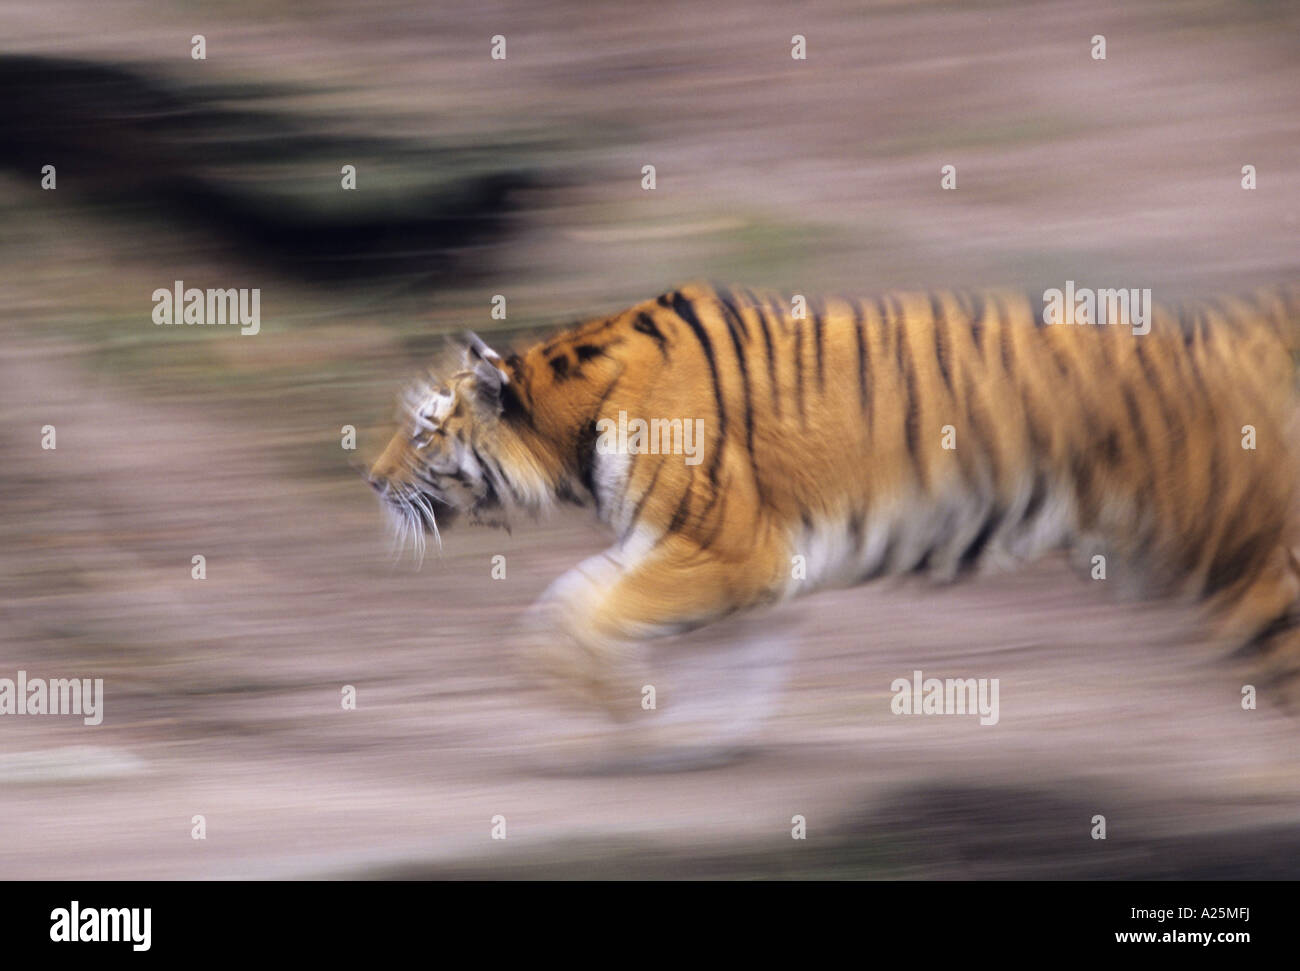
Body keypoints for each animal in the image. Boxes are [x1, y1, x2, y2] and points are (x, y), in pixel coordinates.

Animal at [368, 282, 1300, 752]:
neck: (577, 420)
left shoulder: (727, 550)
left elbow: (600, 611)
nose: (370, 480)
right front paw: (691, 733)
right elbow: (580, 603)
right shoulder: (711, 553)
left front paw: (611, 703)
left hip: (1241, 559)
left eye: (423, 431)